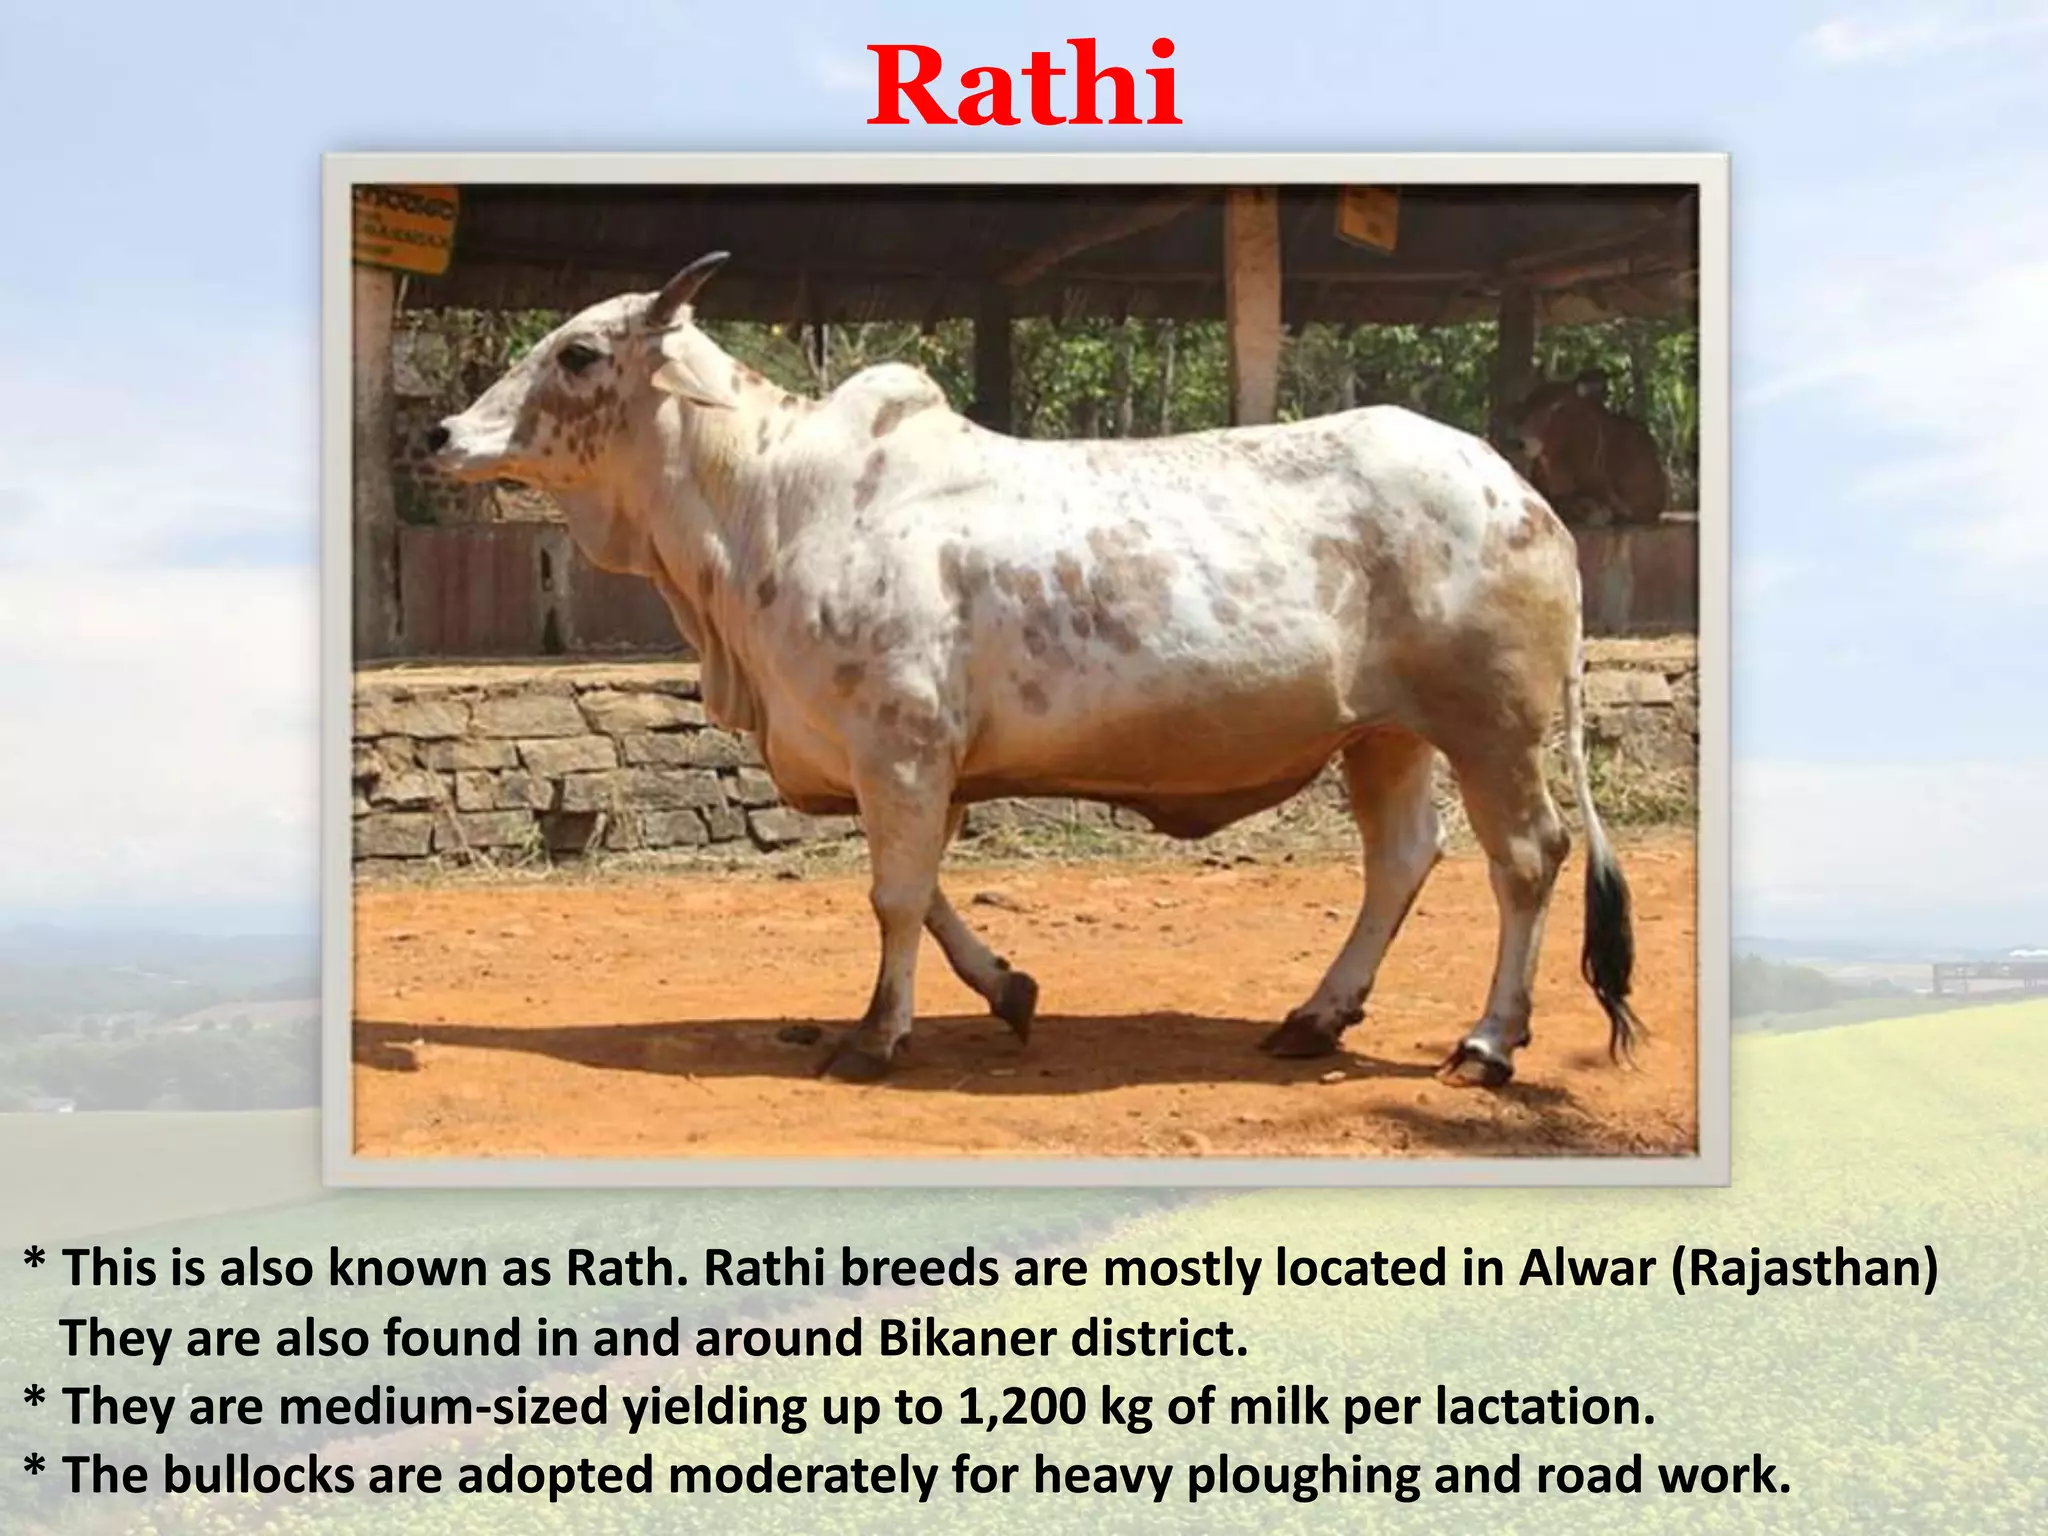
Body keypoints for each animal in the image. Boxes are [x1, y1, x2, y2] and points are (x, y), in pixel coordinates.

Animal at [427, 252, 1642, 1089]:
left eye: (578, 353)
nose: (442, 434)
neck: (767, 503)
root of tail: (1519, 490)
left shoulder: (900, 747)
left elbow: (894, 895)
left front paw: (875, 1036)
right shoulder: (908, 765)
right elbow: (924, 894)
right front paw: (1008, 988)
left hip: (1490, 726)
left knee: (1525, 860)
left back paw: (1488, 1041)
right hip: (1383, 734)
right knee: (1400, 861)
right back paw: (1313, 1017)